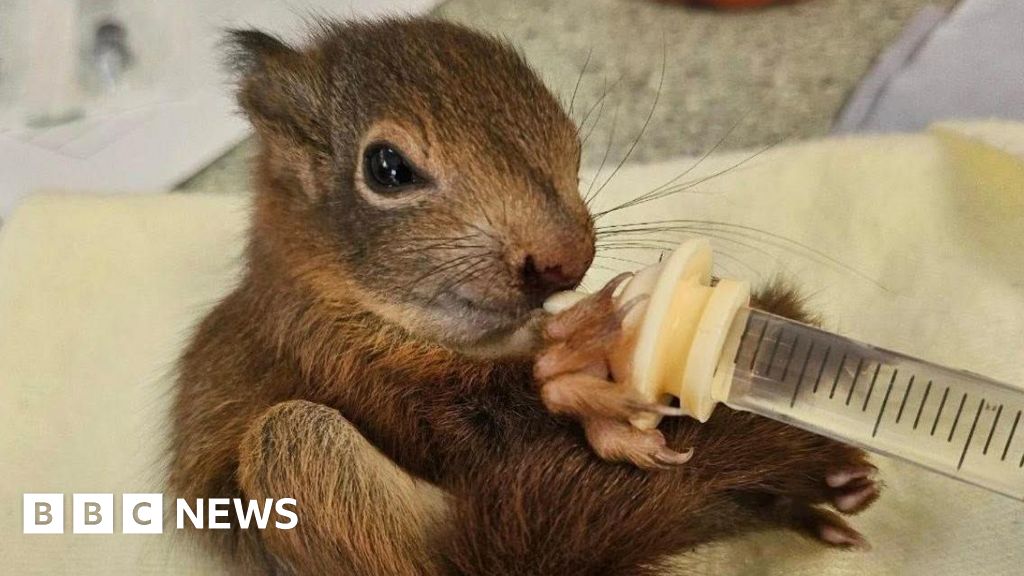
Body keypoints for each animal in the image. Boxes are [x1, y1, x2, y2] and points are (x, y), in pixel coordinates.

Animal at [169, 17, 879, 576]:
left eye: (572, 141)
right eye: (387, 168)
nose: (567, 261)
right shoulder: (330, 350)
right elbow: (459, 422)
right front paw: (587, 379)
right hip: (297, 453)